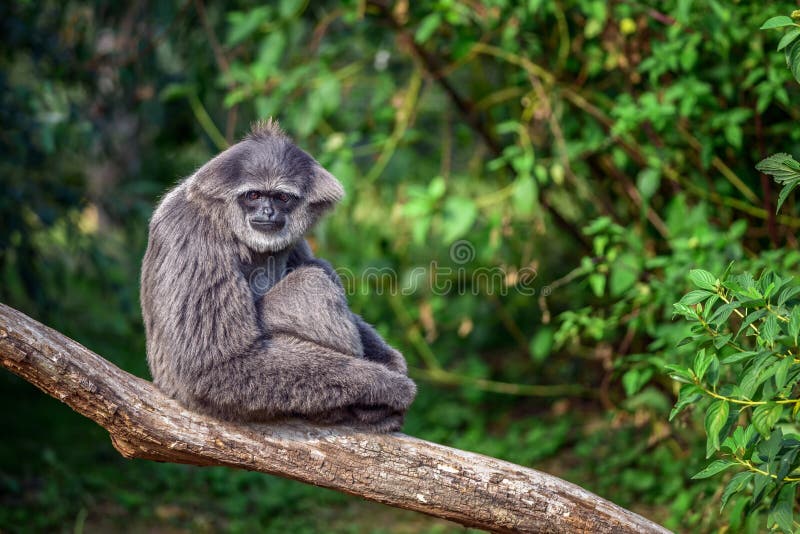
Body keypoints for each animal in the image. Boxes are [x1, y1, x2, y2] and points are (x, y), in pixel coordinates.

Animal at [140, 119, 416, 432]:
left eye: (281, 197)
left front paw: (390, 361)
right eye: (254, 195)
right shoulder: (190, 232)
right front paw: (386, 385)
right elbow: (216, 365)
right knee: (313, 281)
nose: (268, 211)